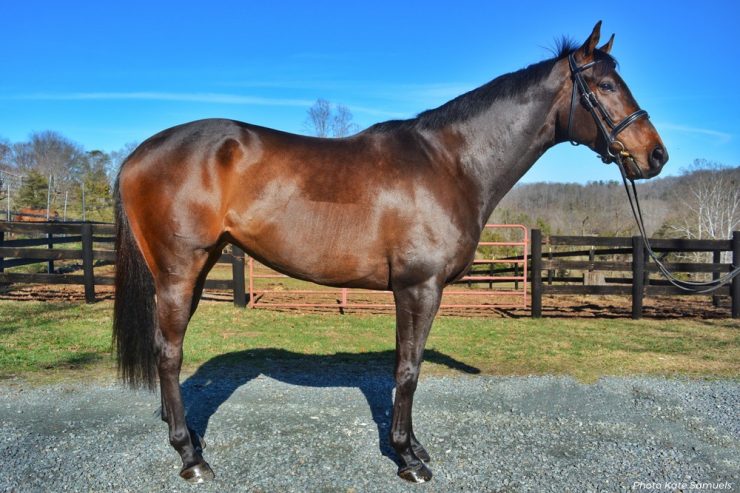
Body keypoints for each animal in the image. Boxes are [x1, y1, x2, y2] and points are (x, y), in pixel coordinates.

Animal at [113, 22, 668, 484]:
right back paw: (191, 457)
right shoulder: (418, 288)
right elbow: (408, 370)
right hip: (179, 272)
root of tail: (139, 154)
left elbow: (408, 366)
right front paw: (407, 458)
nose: (655, 155)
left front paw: (415, 447)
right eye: (605, 86)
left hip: (196, 270)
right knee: (169, 354)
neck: (450, 163)